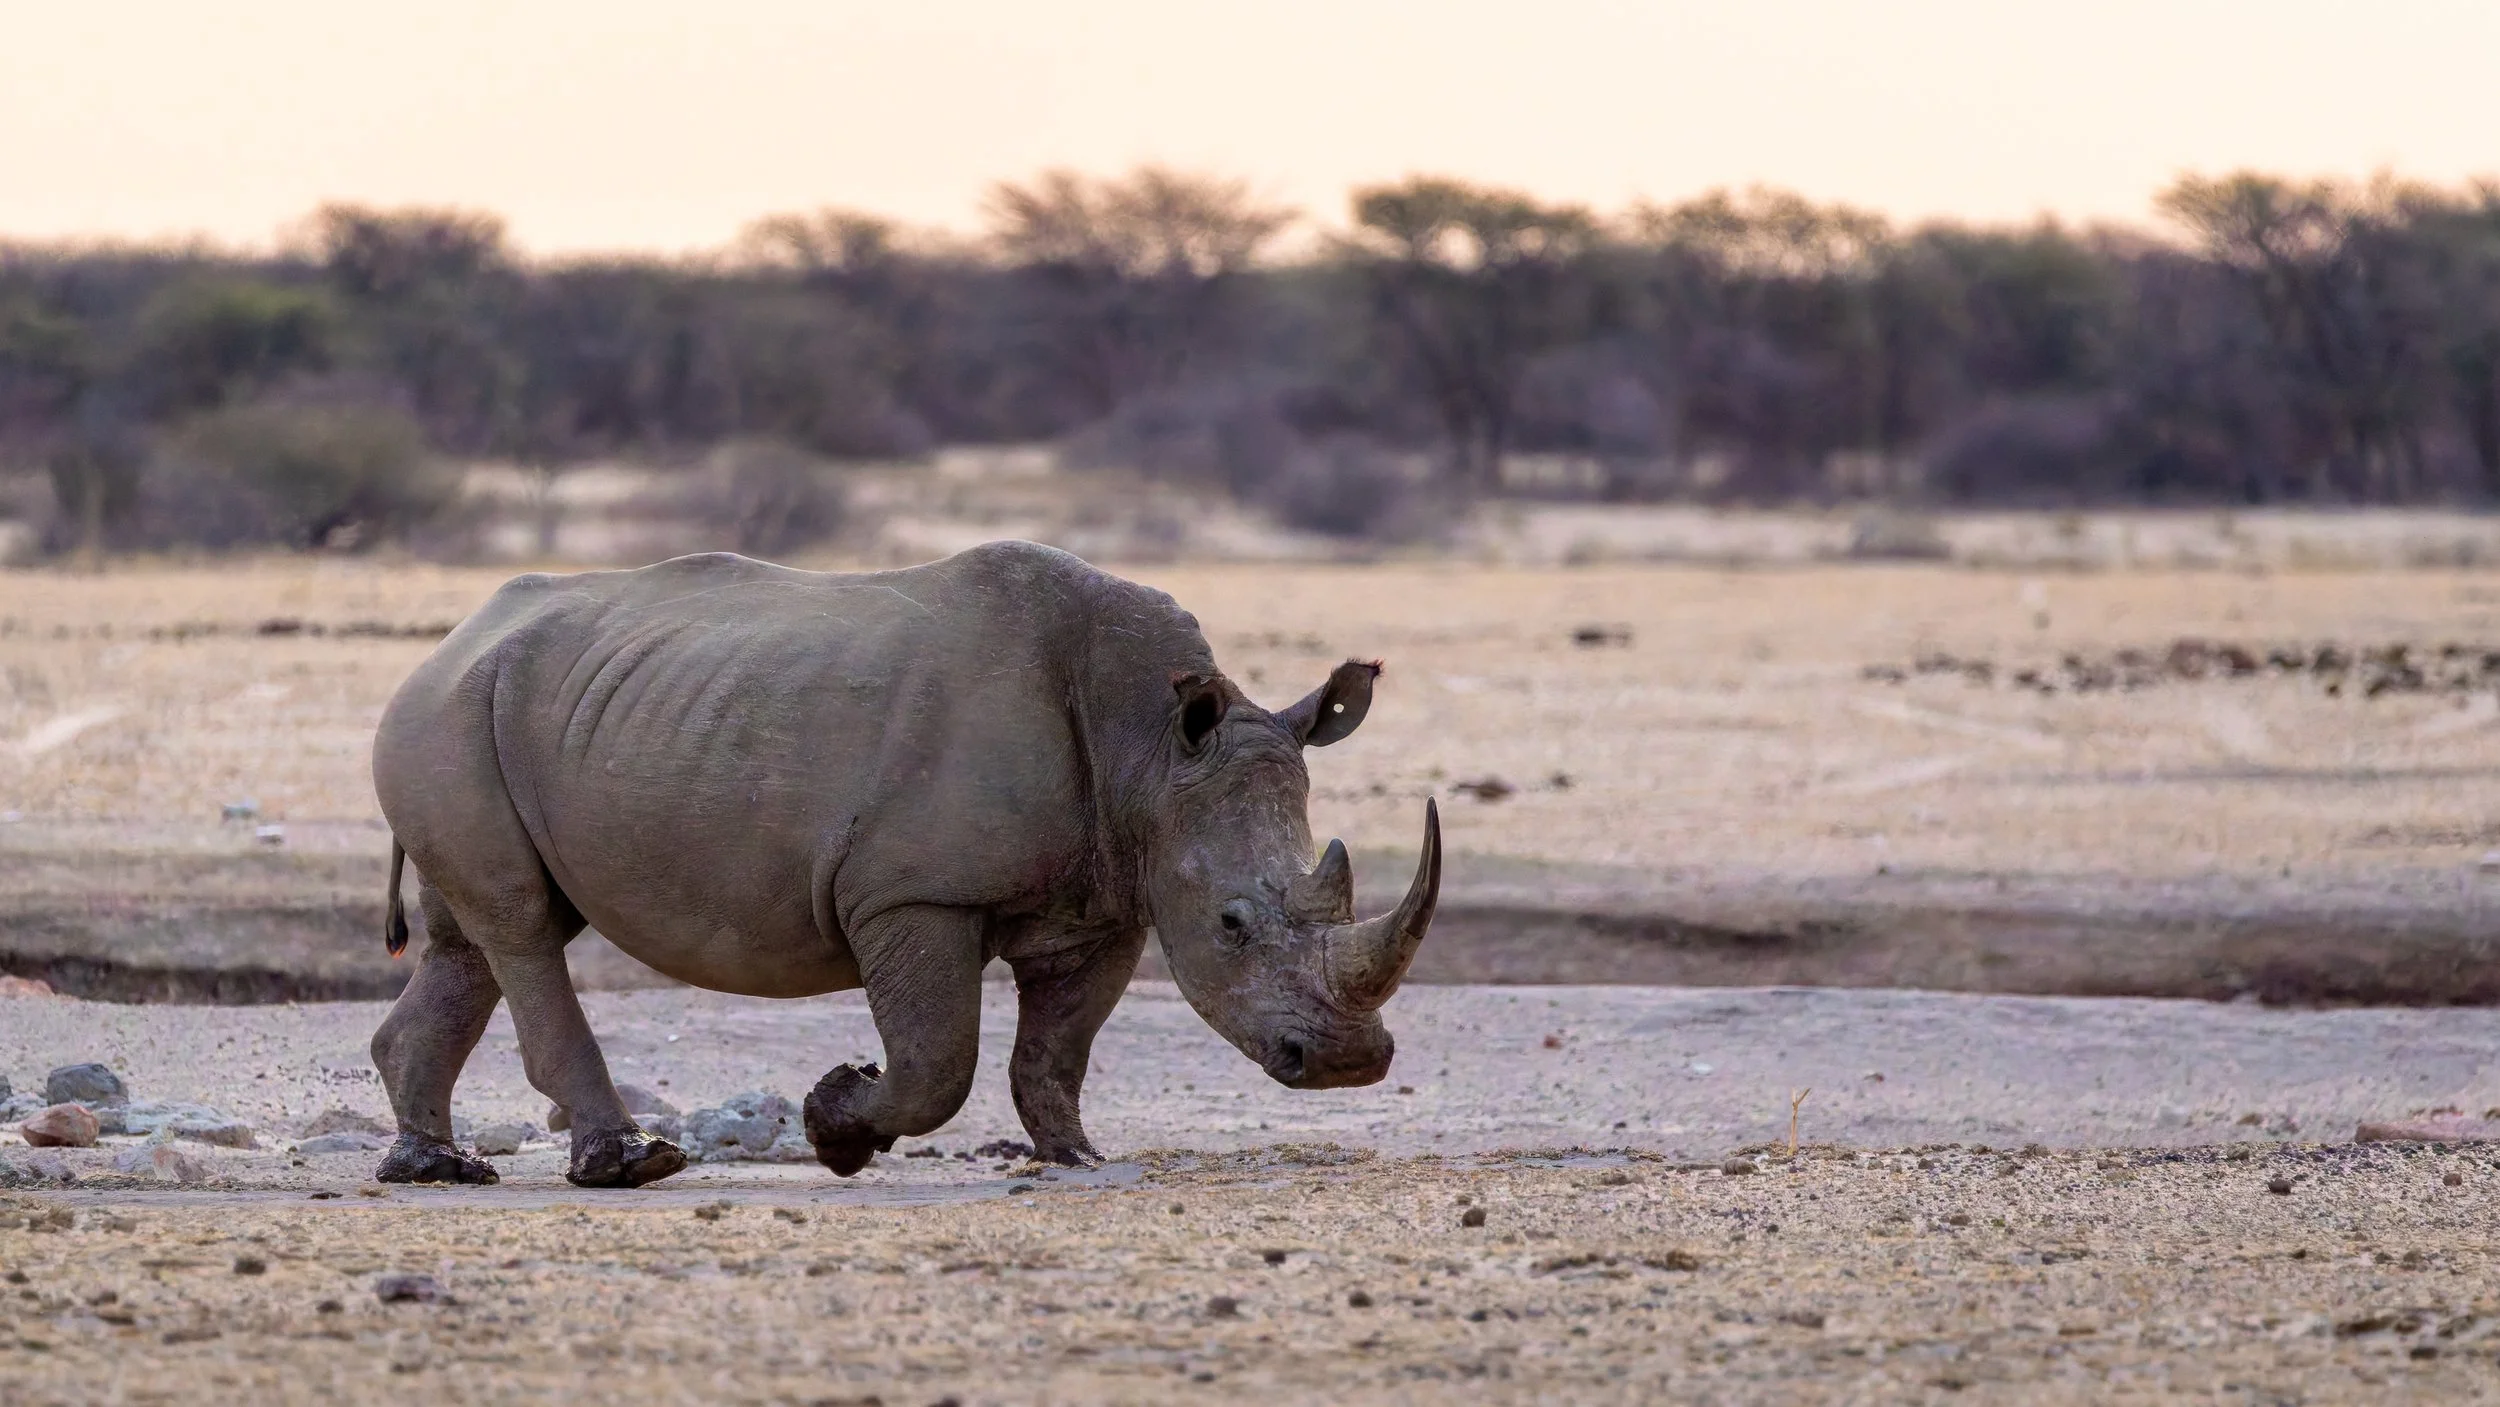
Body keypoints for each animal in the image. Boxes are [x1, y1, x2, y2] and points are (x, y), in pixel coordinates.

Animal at [367, 541, 1440, 1187]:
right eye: (1231, 922)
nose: (1348, 1063)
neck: (1149, 746)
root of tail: (450, 640)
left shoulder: (1109, 898)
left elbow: (1056, 1046)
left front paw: (1076, 1156)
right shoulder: (911, 893)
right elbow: (937, 1062)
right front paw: (835, 1123)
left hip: (498, 712)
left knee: (471, 942)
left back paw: (433, 1170)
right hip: (444, 715)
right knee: (522, 927)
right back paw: (629, 1165)